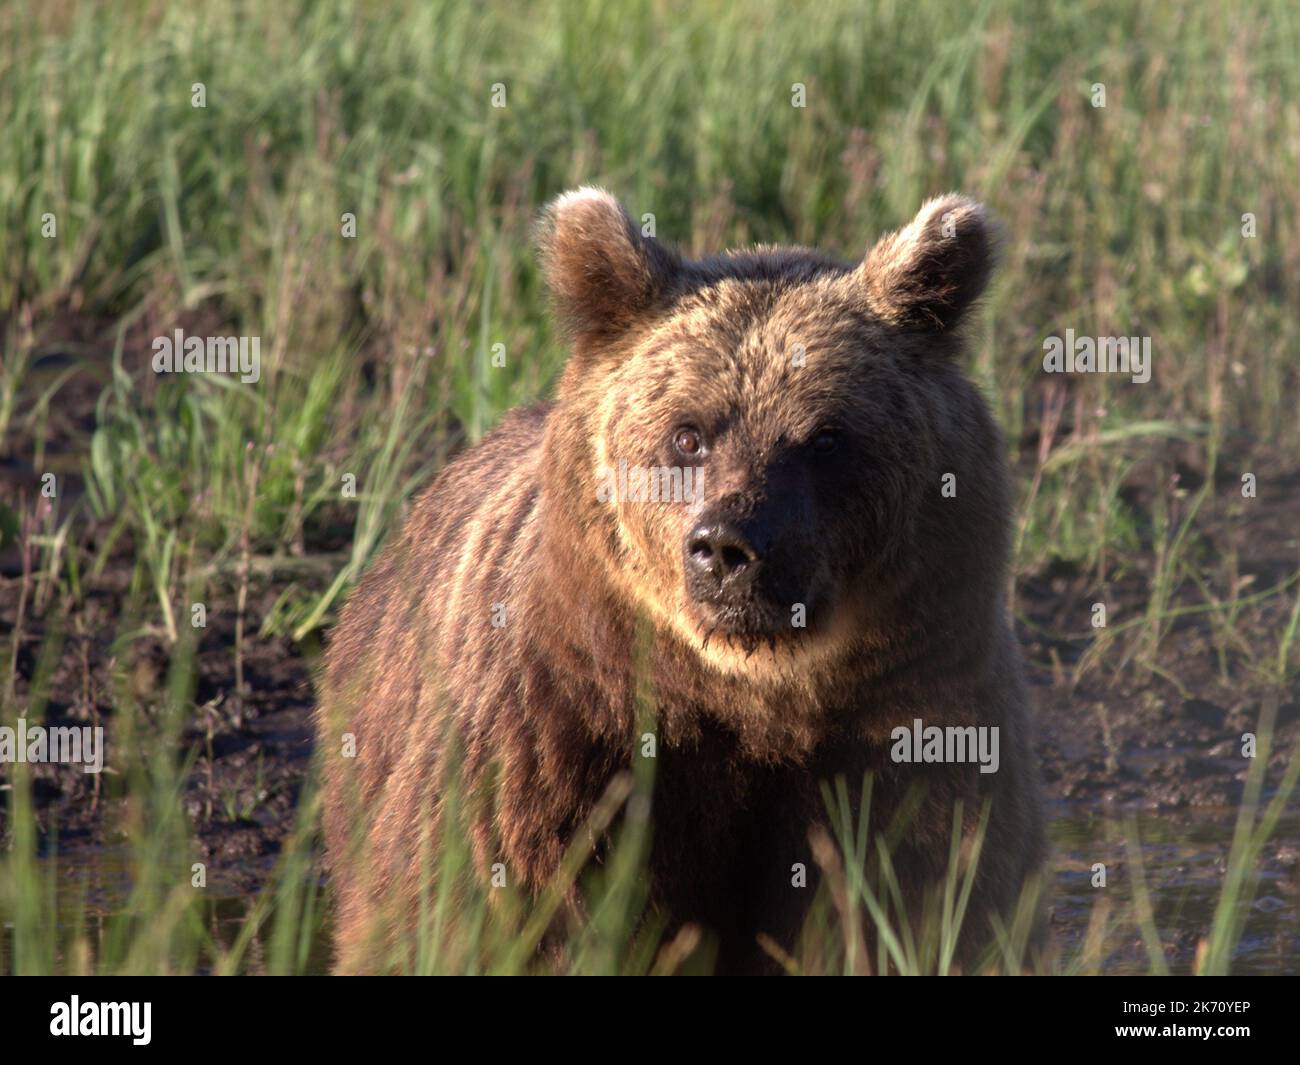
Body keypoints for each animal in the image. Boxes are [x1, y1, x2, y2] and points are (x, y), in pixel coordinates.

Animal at [316, 187, 1047, 974]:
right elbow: (510, 913)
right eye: (689, 433)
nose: (729, 545)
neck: (744, 700)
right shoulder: (559, 748)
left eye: (826, 437)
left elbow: (925, 901)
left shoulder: (911, 734)